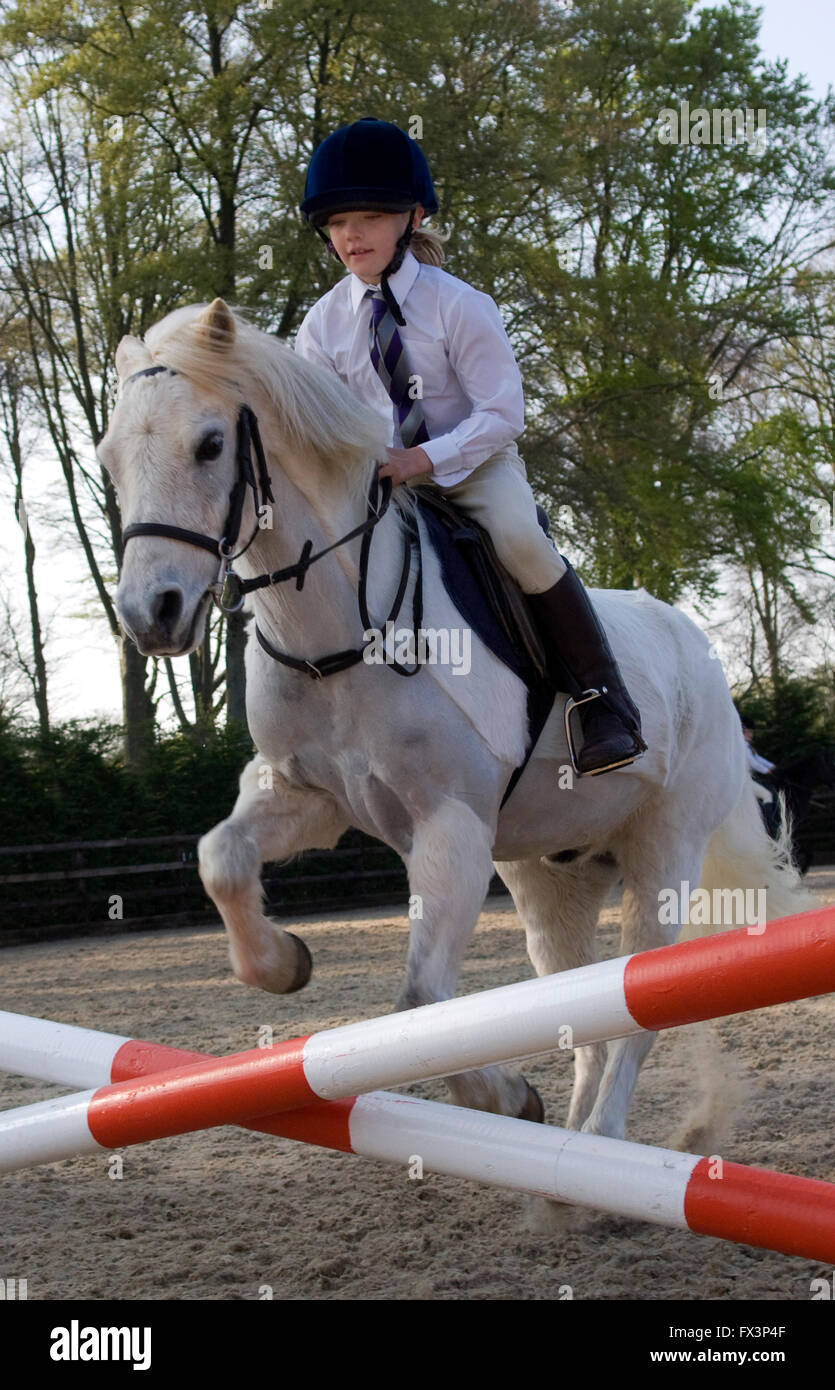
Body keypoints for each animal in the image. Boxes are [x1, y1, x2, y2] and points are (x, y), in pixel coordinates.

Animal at [99, 298, 807, 1160]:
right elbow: (221, 860)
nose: (151, 614)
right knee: (580, 1008)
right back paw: (575, 1149)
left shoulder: (451, 826)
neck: (339, 634)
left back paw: (600, 1142)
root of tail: (698, 650)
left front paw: (504, 1096)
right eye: (108, 460)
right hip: (552, 875)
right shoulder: (305, 796)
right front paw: (282, 963)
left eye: (208, 444)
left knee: (637, 1007)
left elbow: (419, 1002)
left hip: (663, 850)